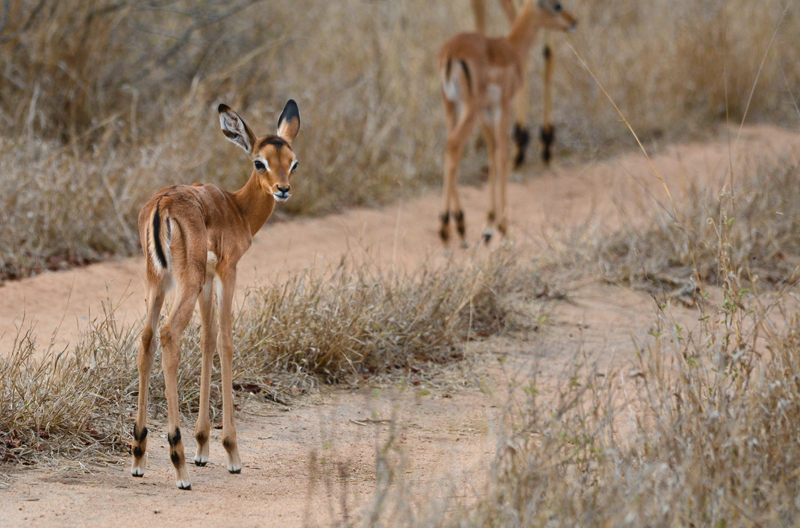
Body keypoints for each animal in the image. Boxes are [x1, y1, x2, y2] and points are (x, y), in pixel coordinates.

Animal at [130, 100, 300, 490]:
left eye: (293, 161)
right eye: (259, 161)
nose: (283, 189)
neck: (236, 208)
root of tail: (163, 204)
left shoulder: (208, 281)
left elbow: (207, 340)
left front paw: (203, 446)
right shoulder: (226, 271)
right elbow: (224, 341)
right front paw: (231, 452)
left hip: (158, 281)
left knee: (147, 337)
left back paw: (140, 455)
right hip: (185, 283)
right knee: (169, 334)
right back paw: (178, 464)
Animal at [437, 0, 576, 245]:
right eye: (557, 5)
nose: (573, 21)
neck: (511, 46)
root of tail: (451, 54)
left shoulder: (488, 109)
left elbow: (493, 151)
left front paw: (491, 223)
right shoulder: (503, 105)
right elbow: (502, 152)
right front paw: (501, 225)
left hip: (451, 105)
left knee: (450, 145)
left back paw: (457, 224)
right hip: (469, 107)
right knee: (455, 144)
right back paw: (448, 225)